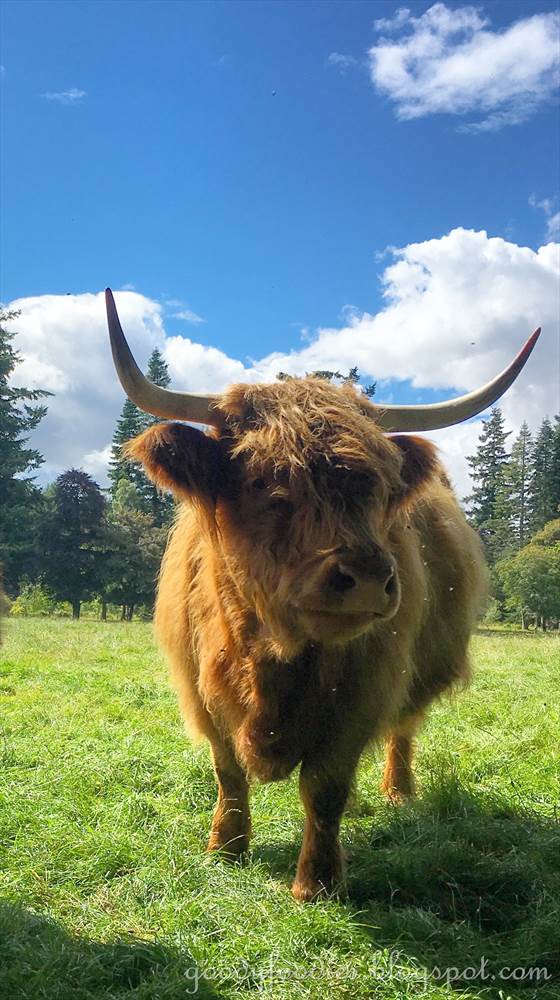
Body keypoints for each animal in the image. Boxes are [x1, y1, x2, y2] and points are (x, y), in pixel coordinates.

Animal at [105, 289, 539, 901]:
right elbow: (227, 771)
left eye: (380, 486)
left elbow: (325, 786)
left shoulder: (361, 692)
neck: (270, 652)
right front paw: (226, 850)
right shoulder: (202, 685)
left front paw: (317, 883)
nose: (366, 577)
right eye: (263, 481)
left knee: (403, 728)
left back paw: (398, 792)